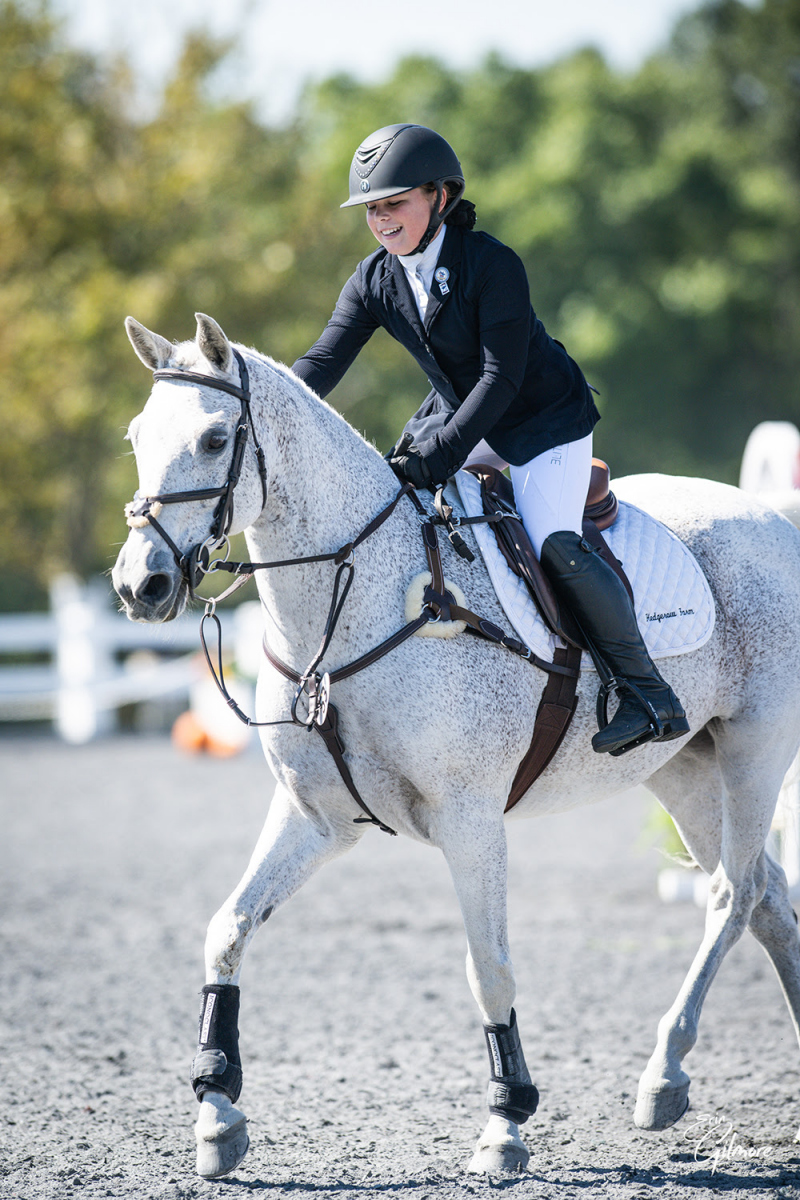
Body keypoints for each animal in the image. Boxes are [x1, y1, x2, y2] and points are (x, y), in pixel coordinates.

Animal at [112, 313, 800, 1180]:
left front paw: (506, 1123)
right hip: (683, 769)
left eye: (211, 439)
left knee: (734, 895)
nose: (140, 585)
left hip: (756, 748)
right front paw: (216, 1112)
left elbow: (489, 968)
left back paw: (661, 1077)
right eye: (137, 437)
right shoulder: (315, 819)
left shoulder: (470, 821)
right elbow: (227, 930)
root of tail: (774, 518)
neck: (351, 605)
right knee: (769, 900)